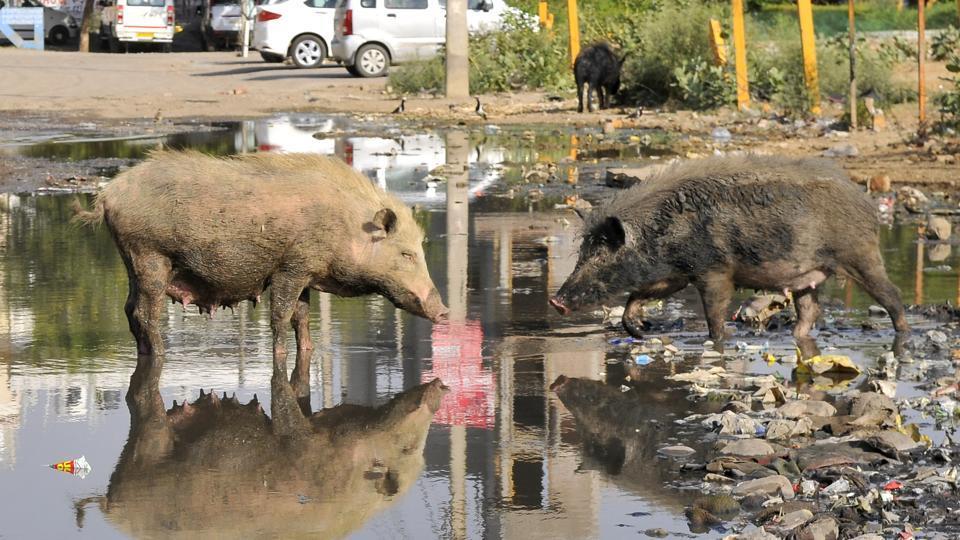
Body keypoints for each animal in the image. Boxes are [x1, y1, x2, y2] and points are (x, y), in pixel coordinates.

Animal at [74, 151, 448, 401]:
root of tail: (107, 196)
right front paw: (280, 355)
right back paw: (162, 354)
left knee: (128, 309)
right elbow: (281, 315)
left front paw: (309, 350)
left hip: (131, 262)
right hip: (149, 255)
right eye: (407, 254)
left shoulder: (305, 273)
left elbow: (302, 317)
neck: (345, 226)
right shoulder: (291, 266)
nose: (444, 311)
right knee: (144, 312)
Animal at [549, 155, 909, 341]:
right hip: (809, 277)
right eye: (582, 254)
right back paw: (795, 336)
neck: (662, 233)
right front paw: (638, 331)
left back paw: (902, 333)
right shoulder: (677, 274)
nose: (555, 301)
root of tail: (867, 204)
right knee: (810, 311)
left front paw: (717, 340)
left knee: (893, 296)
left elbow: (714, 312)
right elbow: (639, 294)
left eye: (601, 257)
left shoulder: (714, 270)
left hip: (860, 254)